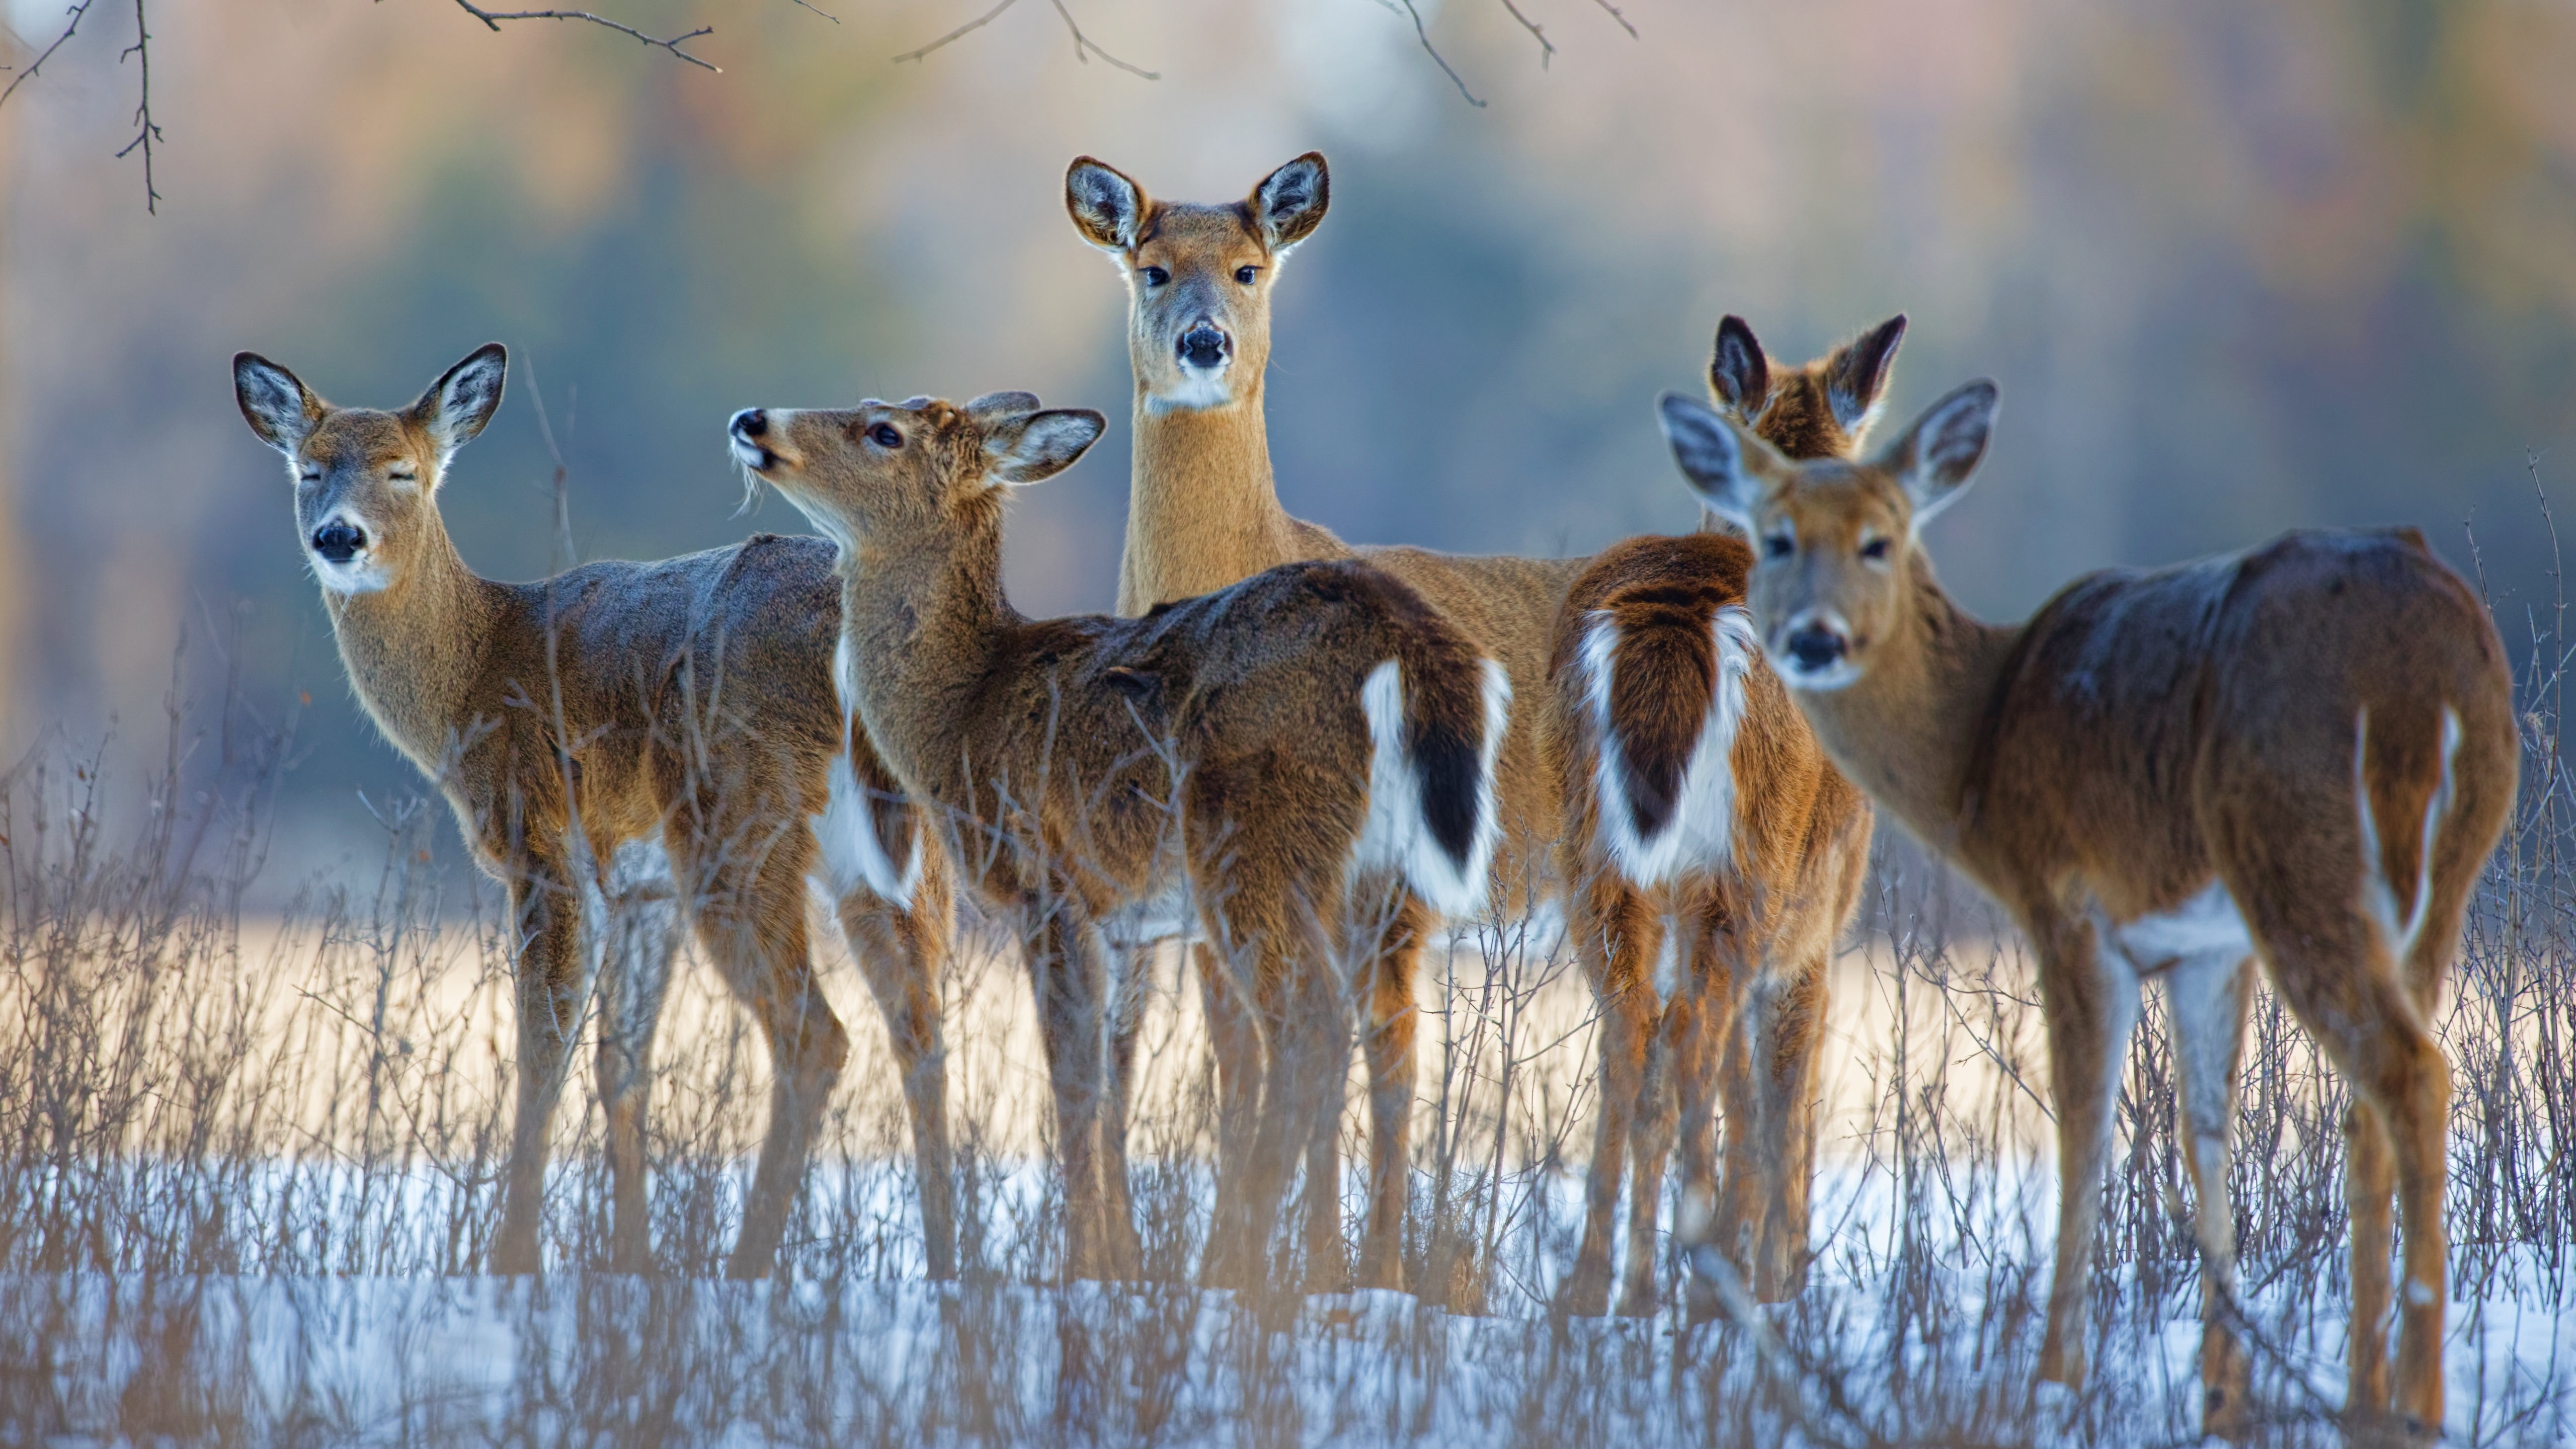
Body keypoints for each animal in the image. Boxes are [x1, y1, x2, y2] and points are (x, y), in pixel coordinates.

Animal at [233, 344, 961, 1283]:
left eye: (404, 471)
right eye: (310, 470)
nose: (338, 537)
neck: (473, 672)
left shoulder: (545, 844)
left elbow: (544, 1051)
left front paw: (513, 1259)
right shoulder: (642, 887)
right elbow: (621, 1063)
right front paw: (630, 1263)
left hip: (739, 815)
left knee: (817, 1037)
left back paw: (747, 1269)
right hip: (896, 852)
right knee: (922, 1030)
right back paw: (949, 1269)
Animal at [727, 391, 1509, 1286]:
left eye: (884, 431)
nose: (753, 420)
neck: (962, 710)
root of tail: (1405, 641)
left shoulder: (1047, 880)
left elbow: (1071, 1082)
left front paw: (1080, 1267)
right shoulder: (1119, 916)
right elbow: (1109, 1085)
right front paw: (1116, 1264)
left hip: (1256, 840)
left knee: (1311, 1024)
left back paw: (1241, 1265)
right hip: (1387, 878)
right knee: (1394, 1036)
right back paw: (1365, 1277)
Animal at [1067, 151, 1590, 1292]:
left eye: (1250, 268)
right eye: (1152, 269)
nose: (1204, 342)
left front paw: (1303, 1265)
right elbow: (1235, 1063)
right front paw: (1249, 1255)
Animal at [1551, 314, 1904, 1319]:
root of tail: (1678, 615)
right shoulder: (1817, 925)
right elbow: (1787, 1095)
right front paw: (1784, 1269)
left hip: (1597, 862)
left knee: (1634, 1031)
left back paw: (1603, 1282)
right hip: (1751, 861)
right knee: (1695, 1036)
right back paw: (1694, 1274)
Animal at [1660, 375, 2516, 1440]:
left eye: (1878, 540)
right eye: (1775, 537)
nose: (1816, 637)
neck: (1979, 739)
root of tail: (2422, 675)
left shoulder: (2066, 902)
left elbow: (2082, 1130)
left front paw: (2057, 1377)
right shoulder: (2204, 944)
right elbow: (2203, 1134)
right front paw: (2222, 1393)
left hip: (2297, 849)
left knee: (2410, 1074)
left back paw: (2419, 1400)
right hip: (2443, 875)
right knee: (2379, 1101)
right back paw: (2367, 1394)